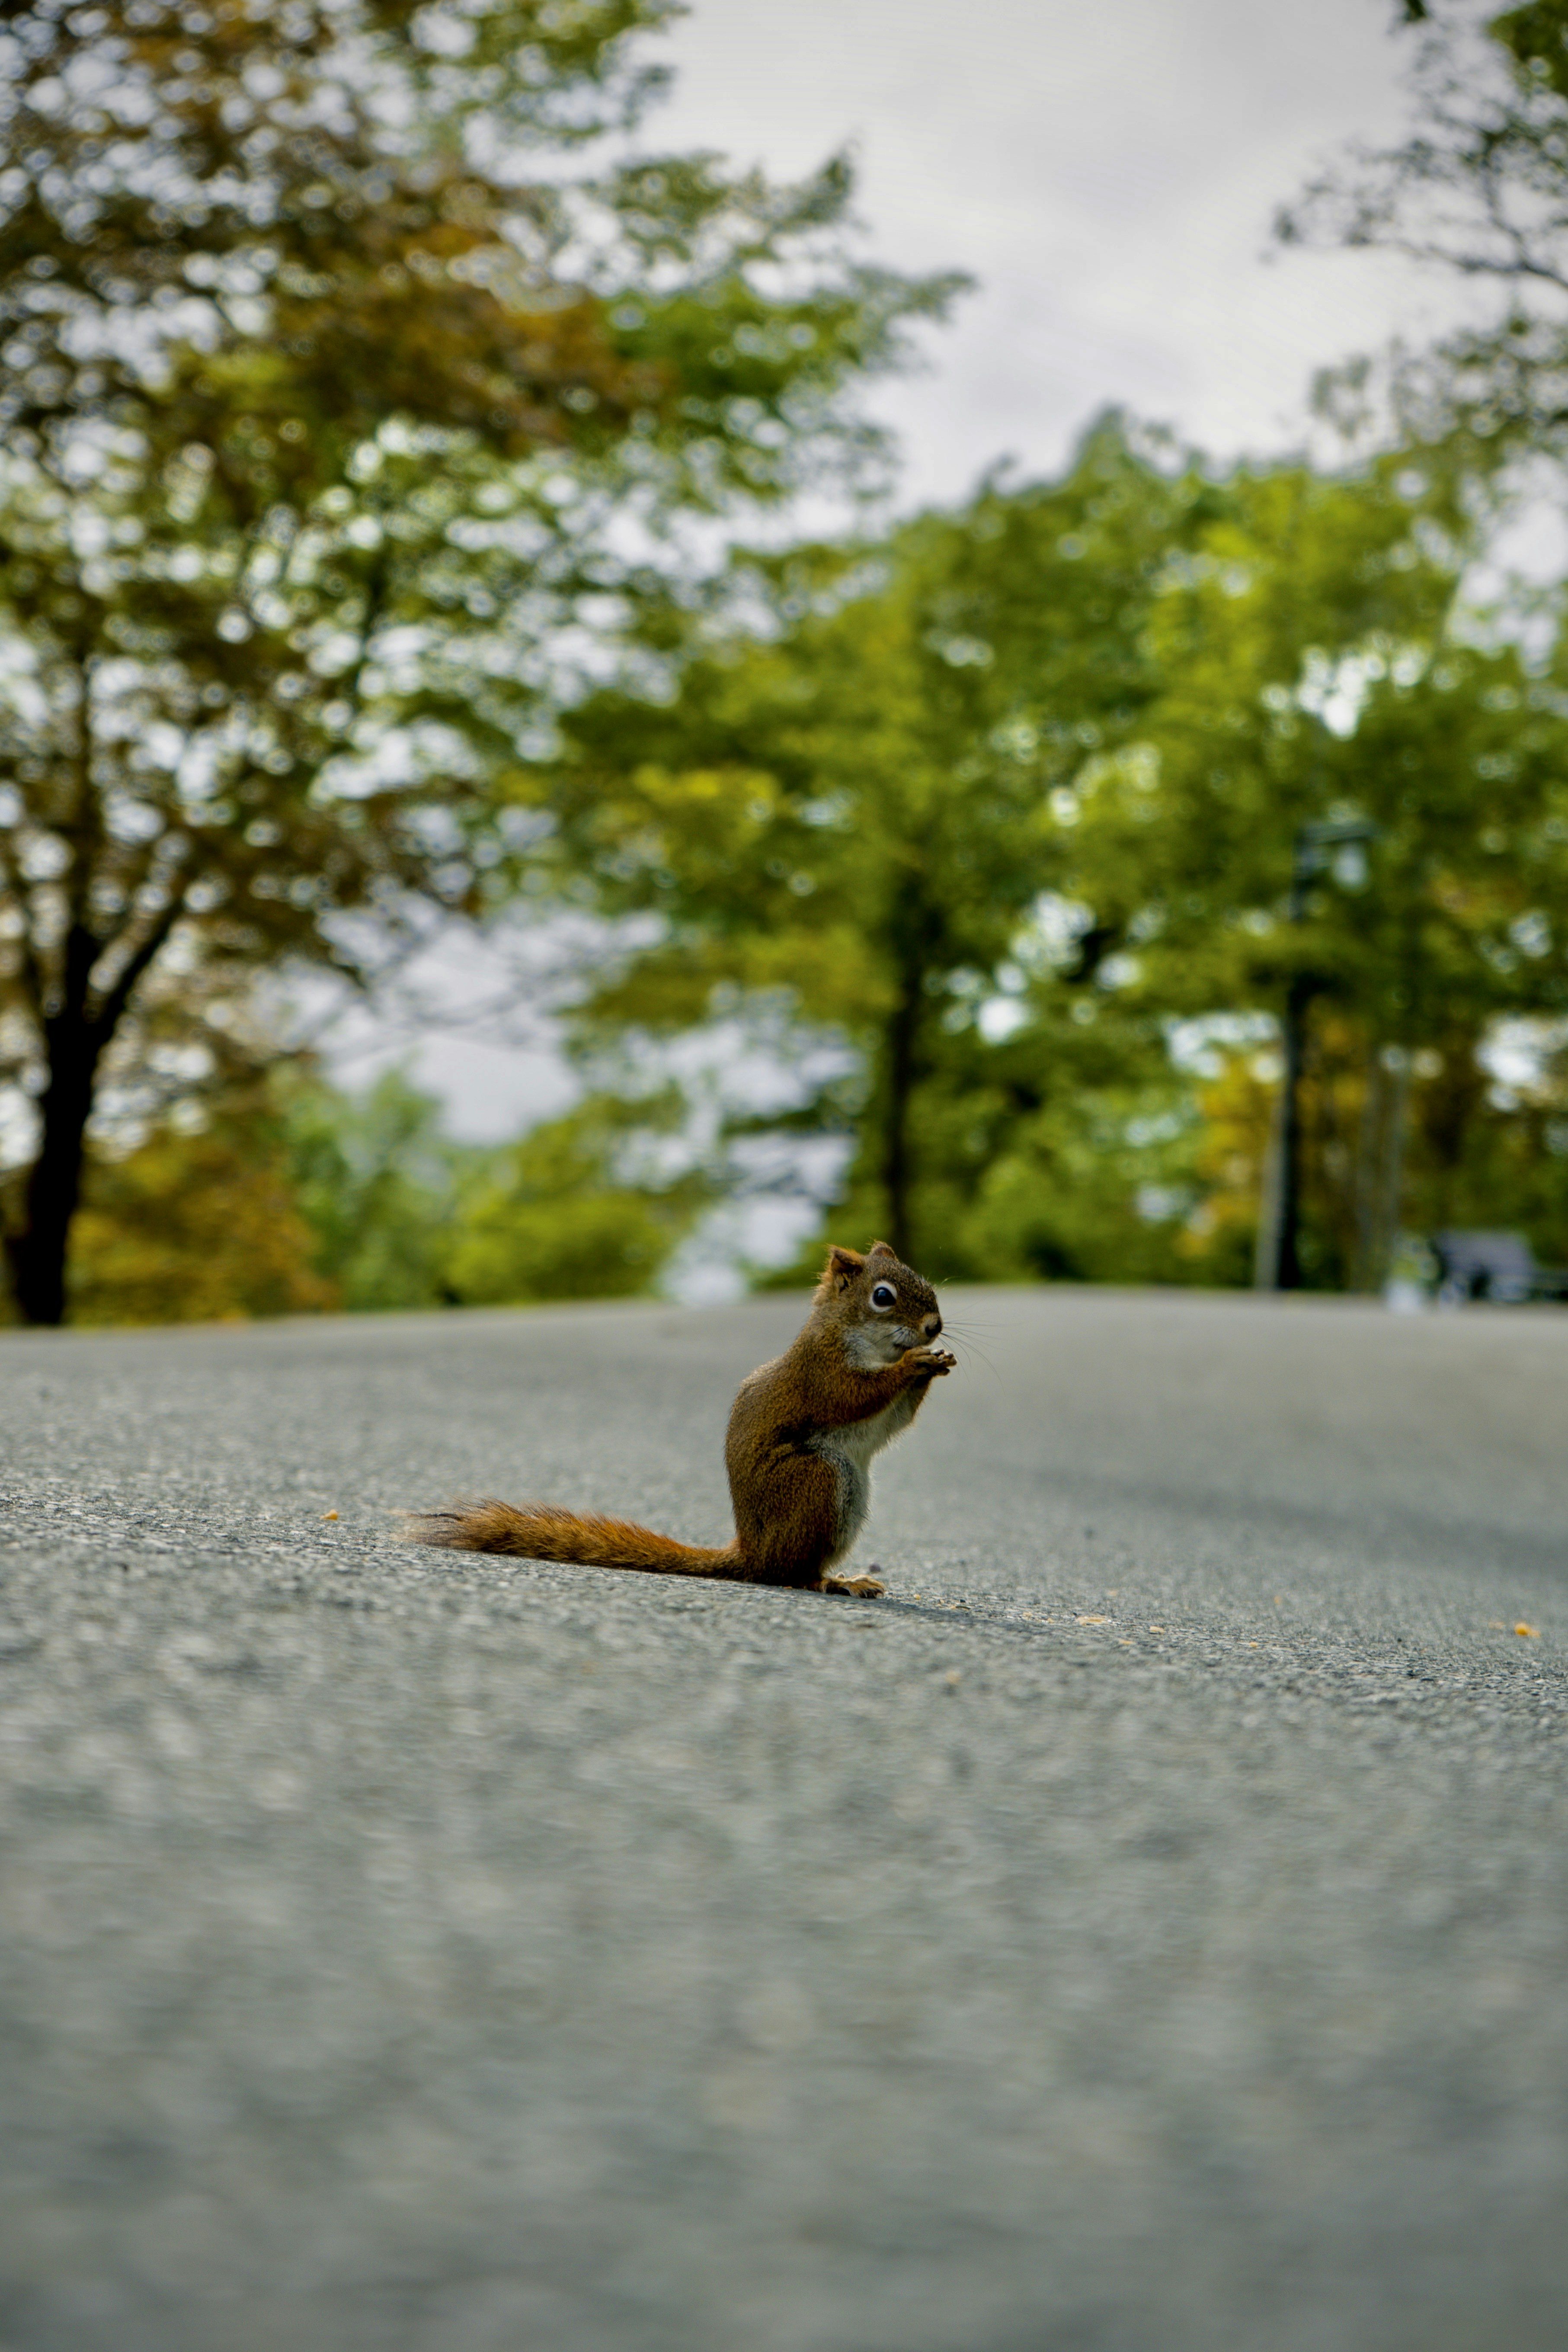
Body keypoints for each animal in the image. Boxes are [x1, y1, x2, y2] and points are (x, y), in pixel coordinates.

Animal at [409, 1239, 955, 1597]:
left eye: (927, 1285)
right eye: (882, 1297)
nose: (934, 1326)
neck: (851, 1335)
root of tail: (751, 1551)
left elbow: (894, 1419)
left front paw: (937, 1362)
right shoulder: (821, 1374)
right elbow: (855, 1397)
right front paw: (914, 1364)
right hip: (816, 1480)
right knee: (788, 1574)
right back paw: (831, 1582)